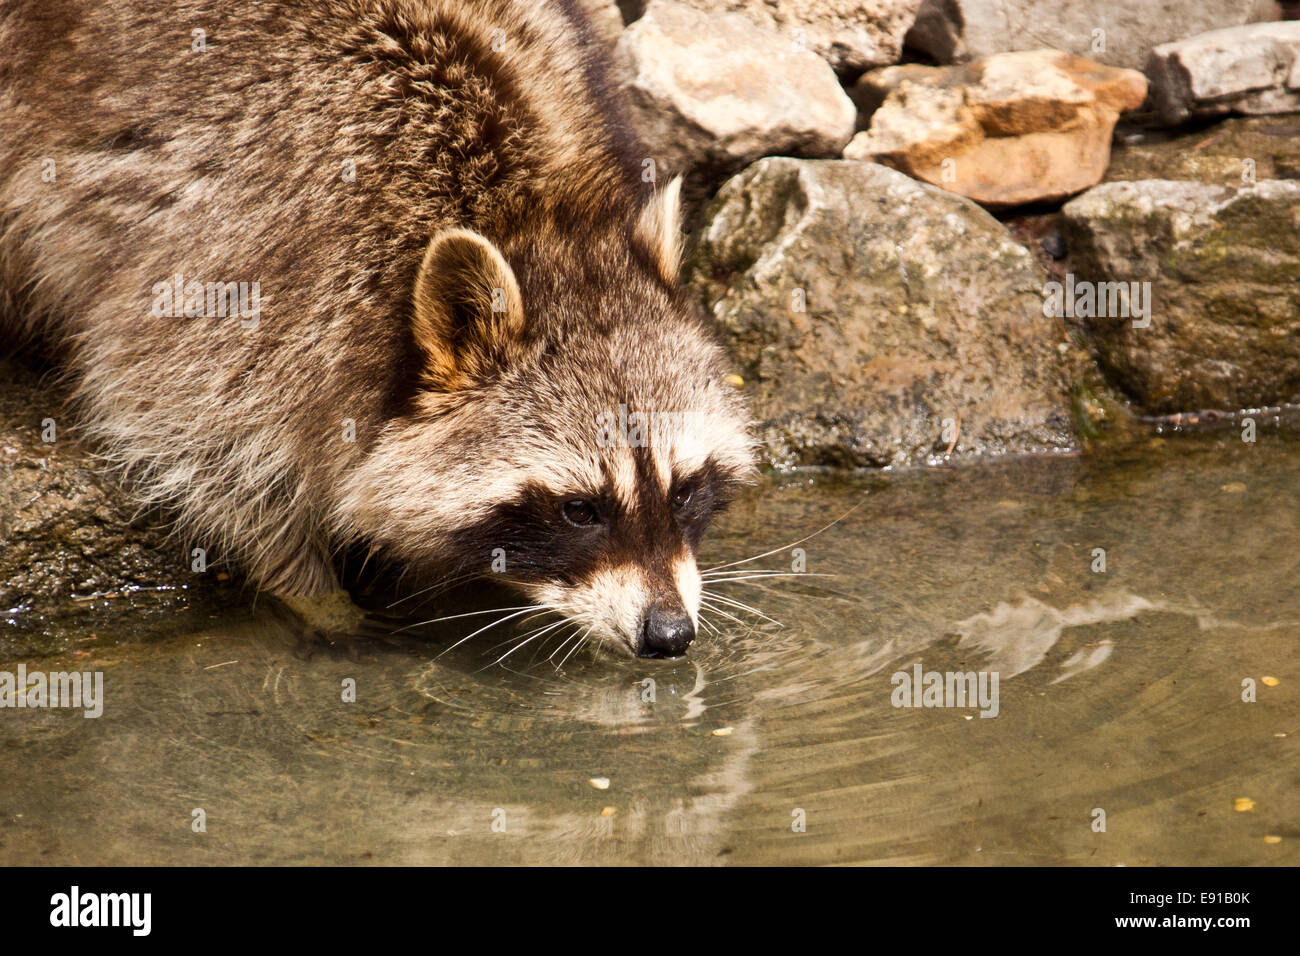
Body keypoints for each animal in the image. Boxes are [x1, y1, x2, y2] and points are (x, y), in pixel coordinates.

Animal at [0, 0, 754, 657]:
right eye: (580, 509)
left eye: (685, 491)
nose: (669, 635)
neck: (535, 221)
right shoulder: (239, 271)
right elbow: (199, 443)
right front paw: (314, 591)